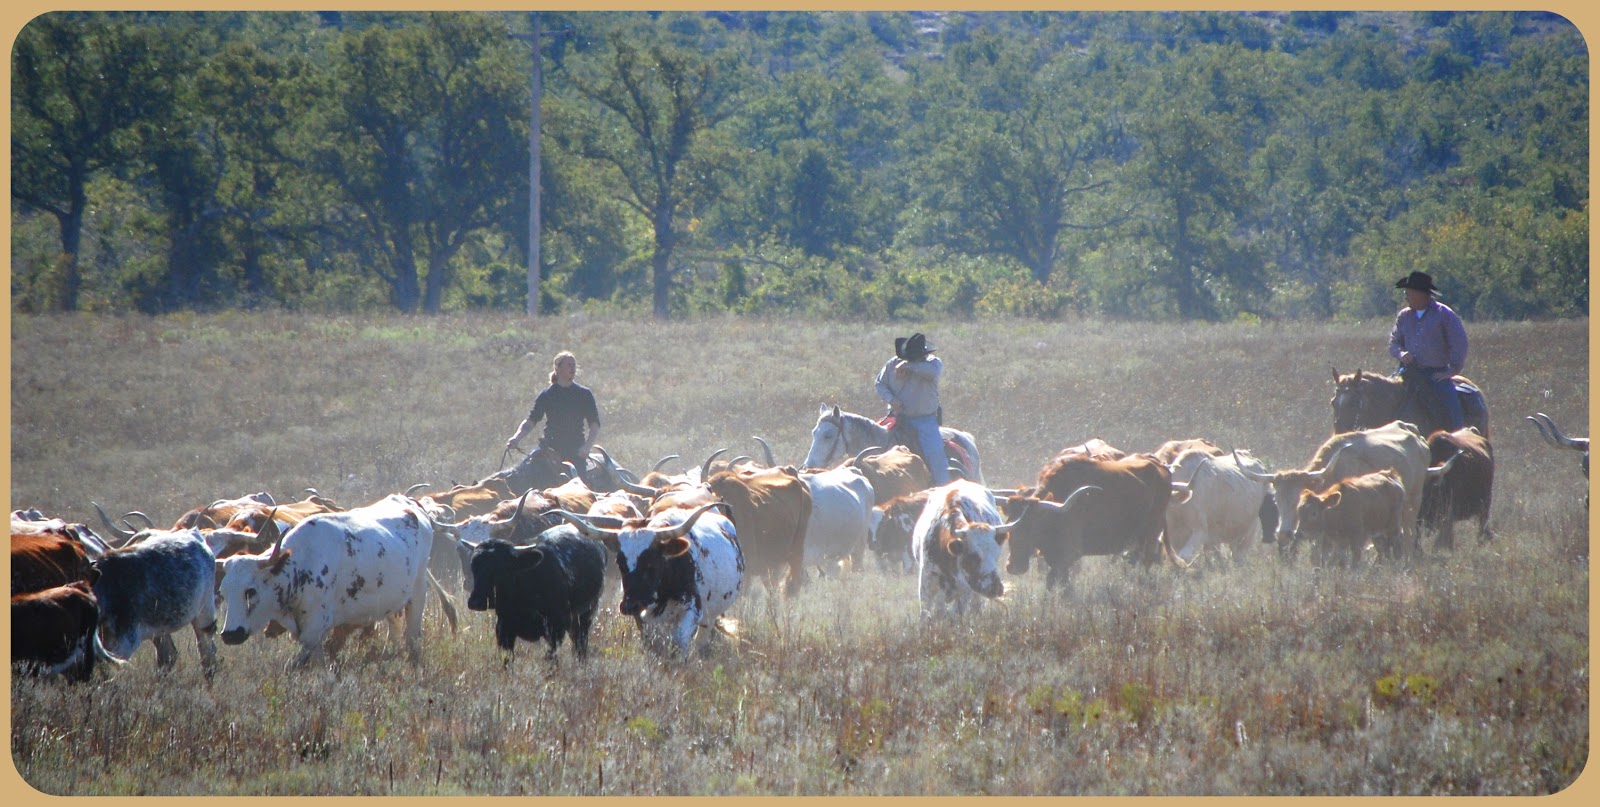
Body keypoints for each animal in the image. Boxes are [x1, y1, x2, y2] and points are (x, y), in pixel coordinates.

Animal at [91, 528, 220, 678]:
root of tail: (192, 532)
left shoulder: (124, 642)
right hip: (160, 628)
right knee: (168, 656)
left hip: (204, 615)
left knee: (207, 658)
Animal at [218, 494, 435, 669]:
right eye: (224, 591)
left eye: (250, 590)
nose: (230, 634)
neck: (302, 562)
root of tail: (408, 503)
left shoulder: (314, 629)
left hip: (417, 596)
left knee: (412, 641)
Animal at [463, 524, 607, 666]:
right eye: (473, 566)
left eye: (501, 569)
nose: (476, 602)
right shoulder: (504, 629)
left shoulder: (556, 629)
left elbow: (551, 658)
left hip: (585, 617)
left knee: (580, 647)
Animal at [554, 502, 743, 658]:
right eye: (620, 562)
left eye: (651, 562)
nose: (630, 605)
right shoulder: (642, 618)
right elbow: (653, 645)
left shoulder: (693, 610)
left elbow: (678, 643)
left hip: (709, 617)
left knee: (701, 640)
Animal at [911, 480, 1023, 617]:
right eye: (973, 555)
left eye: (996, 555)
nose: (995, 588)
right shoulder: (926, 583)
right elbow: (928, 613)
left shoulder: (965, 590)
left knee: (976, 605)